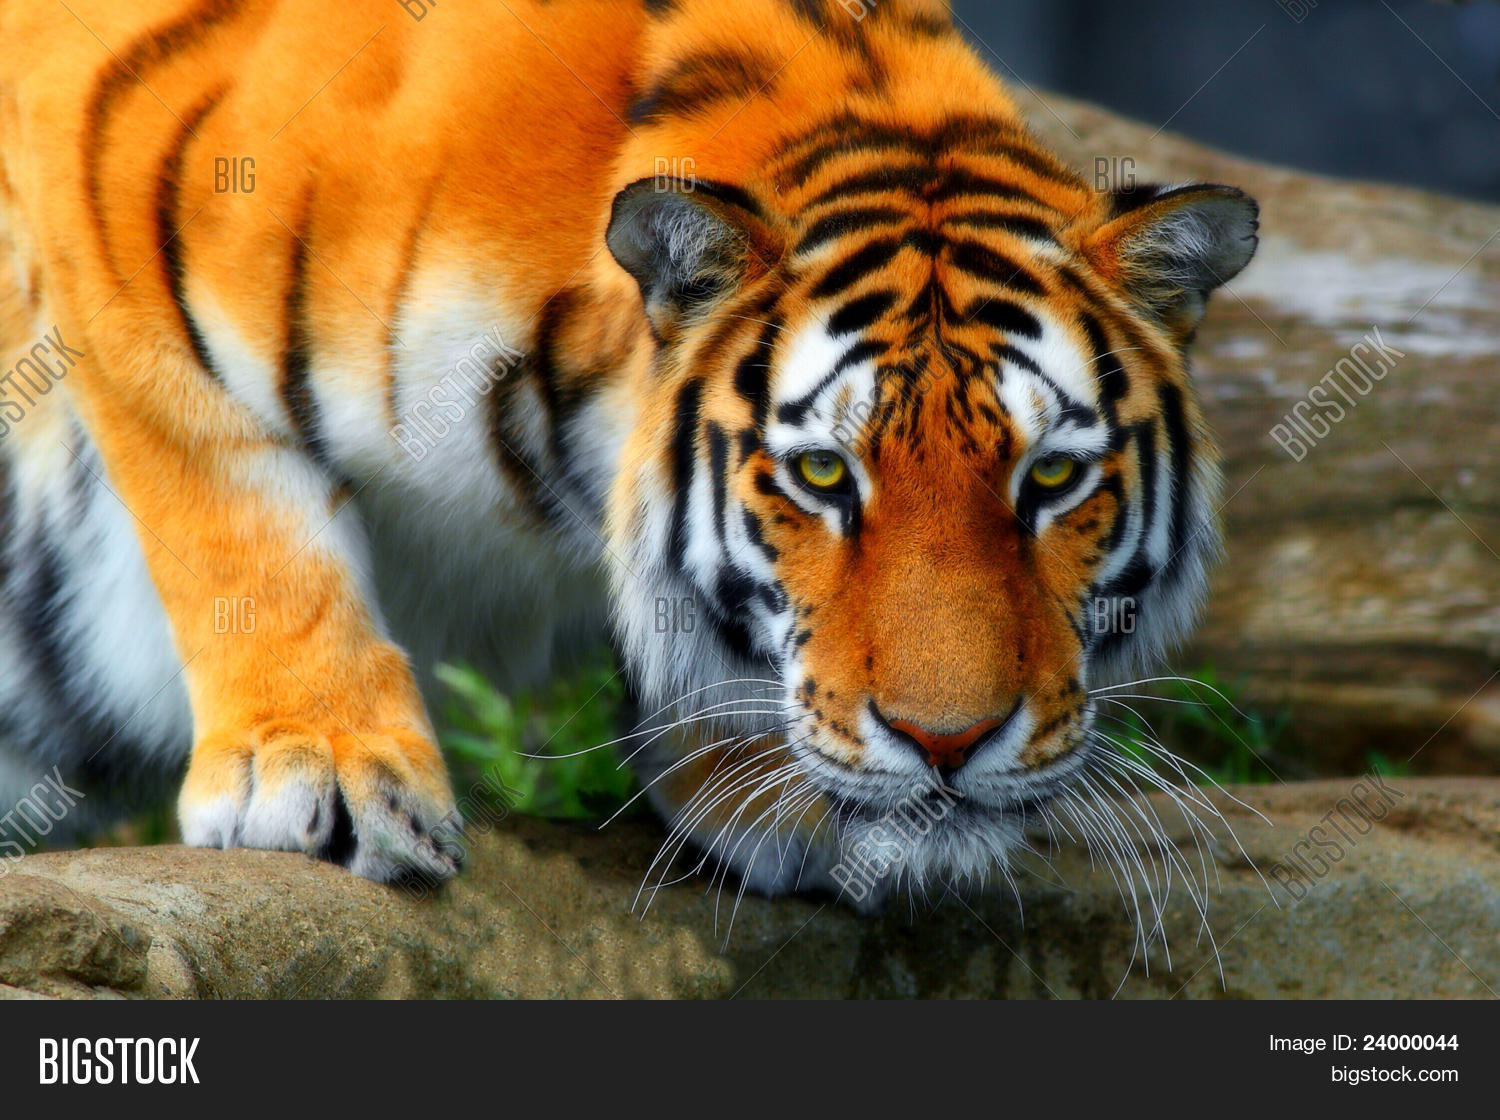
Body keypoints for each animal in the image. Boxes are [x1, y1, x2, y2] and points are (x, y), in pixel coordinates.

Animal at [0, 0, 1256, 904]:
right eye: (823, 475)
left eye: (1052, 478)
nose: (946, 744)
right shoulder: (118, 187)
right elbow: (240, 521)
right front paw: (319, 769)